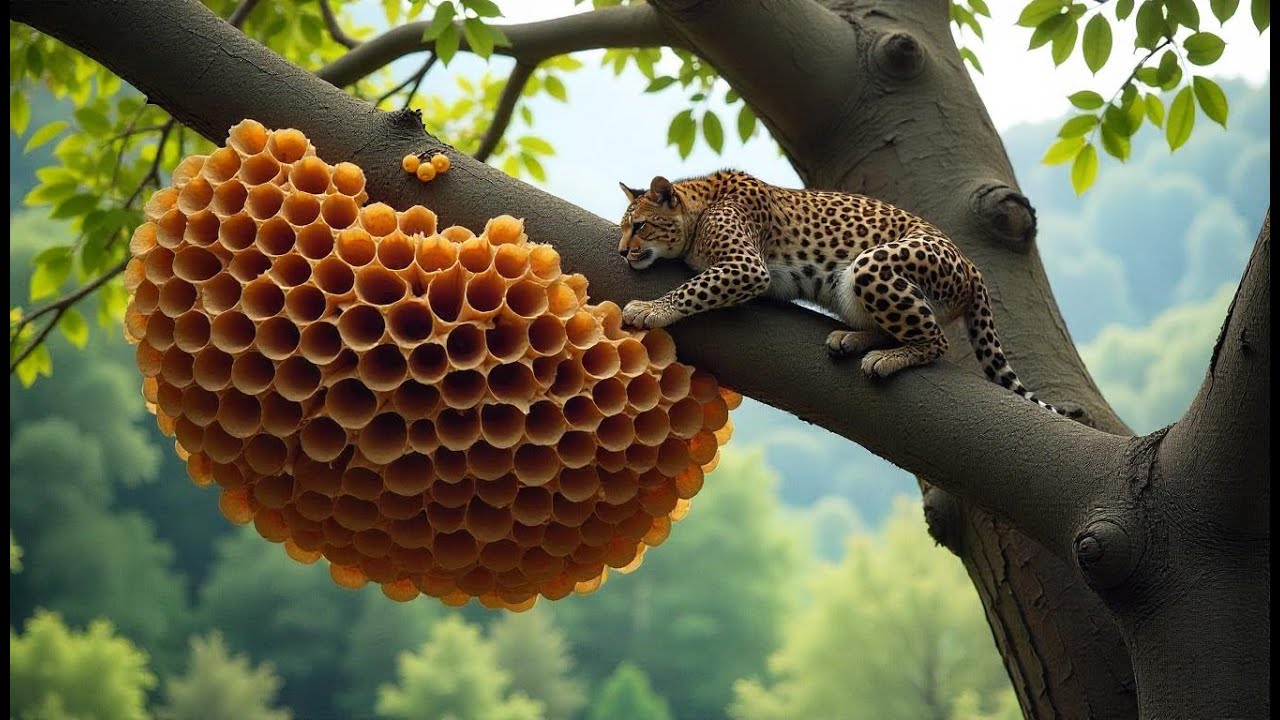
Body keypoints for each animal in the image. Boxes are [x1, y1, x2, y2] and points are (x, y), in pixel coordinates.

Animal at [616, 170, 1074, 416]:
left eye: (638, 226)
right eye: (624, 227)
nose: (621, 251)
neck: (700, 205)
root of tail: (972, 265)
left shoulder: (747, 266)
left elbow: (694, 287)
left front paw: (650, 308)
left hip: (871, 264)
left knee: (937, 340)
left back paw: (887, 358)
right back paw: (852, 338)